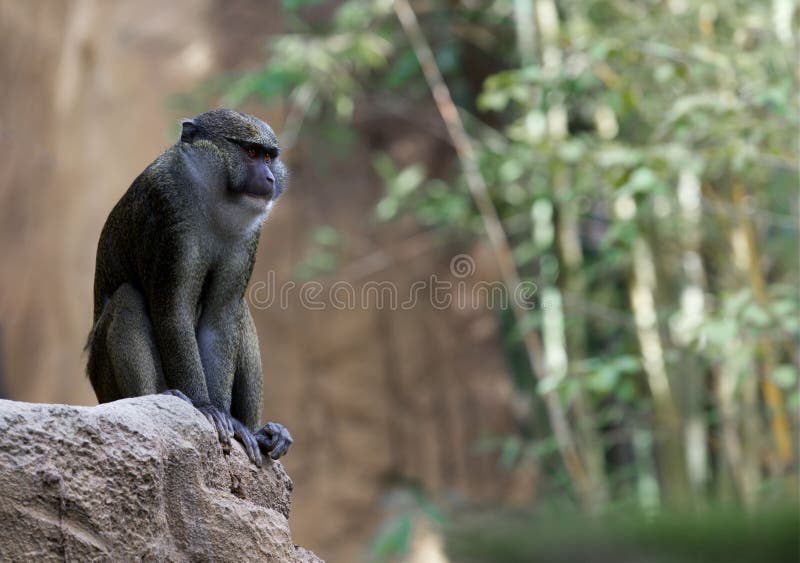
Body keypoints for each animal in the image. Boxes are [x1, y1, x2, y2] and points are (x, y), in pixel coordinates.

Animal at [86, 109, 292, 466]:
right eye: (251, 153)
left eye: (269, 157)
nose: (269, 178)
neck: (212, 198)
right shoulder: (168, 208)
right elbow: (173, 312)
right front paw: (206, 407)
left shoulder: (249, 235)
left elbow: (220, 317)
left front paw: (230, 419)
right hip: (104, 382)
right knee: (127, 298)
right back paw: (160, 399)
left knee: (239, 309)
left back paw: (262, 433)